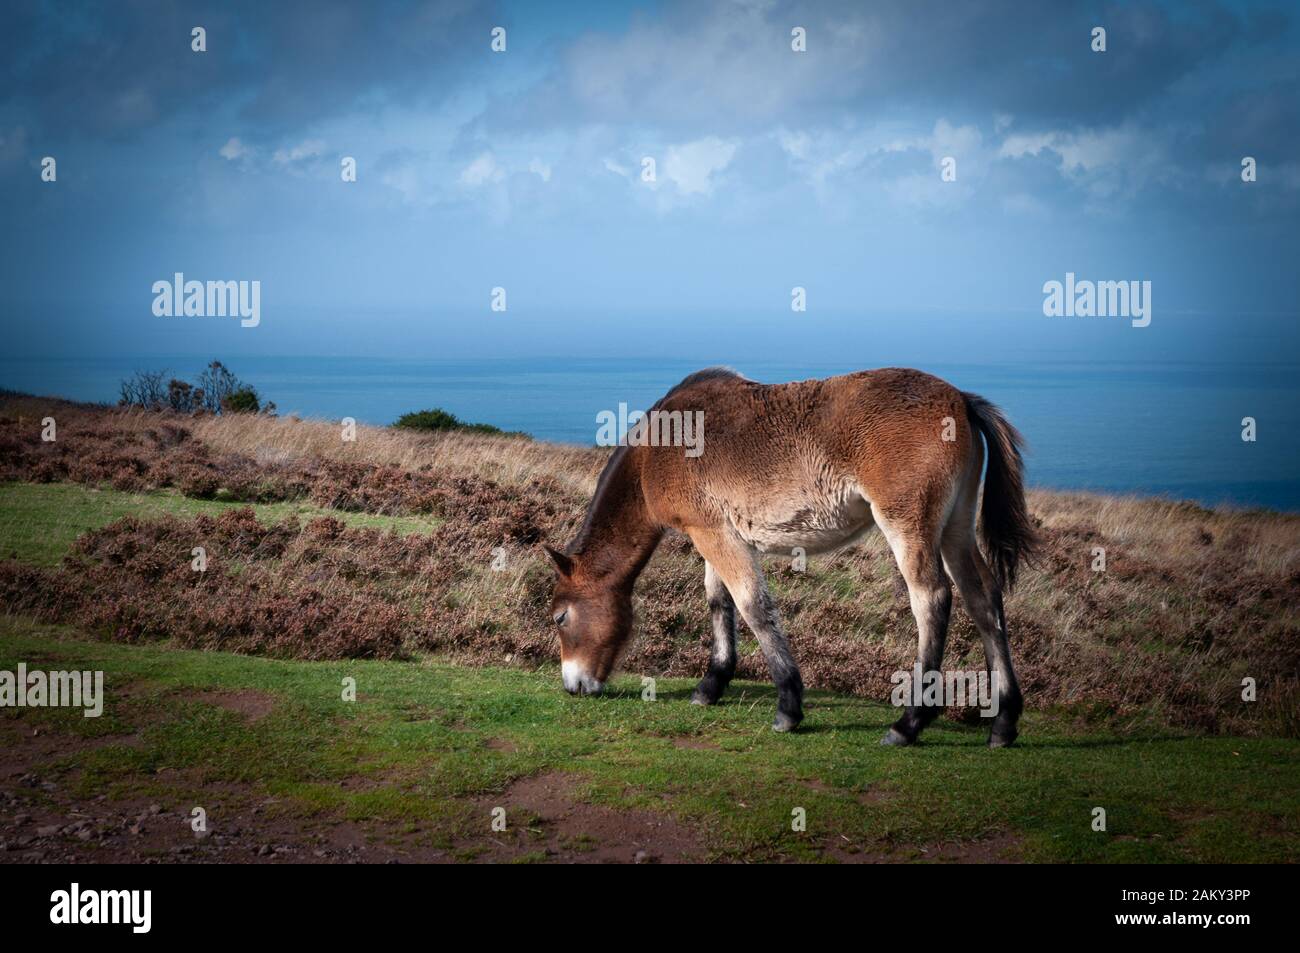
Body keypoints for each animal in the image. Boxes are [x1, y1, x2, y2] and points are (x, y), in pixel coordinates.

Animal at [542, 367, 1036, 747]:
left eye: (561, 618)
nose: (573, 685)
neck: (660, 448)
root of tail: (960, 401)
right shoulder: (717, 533)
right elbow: (719, 601)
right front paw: (711, 685)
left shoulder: (713, 535)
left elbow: (753, 607)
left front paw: (788, 707)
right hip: (955, 528)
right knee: (983, 598)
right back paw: (1003, 723)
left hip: (908, 525)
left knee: (931, 601)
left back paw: (909, 723)